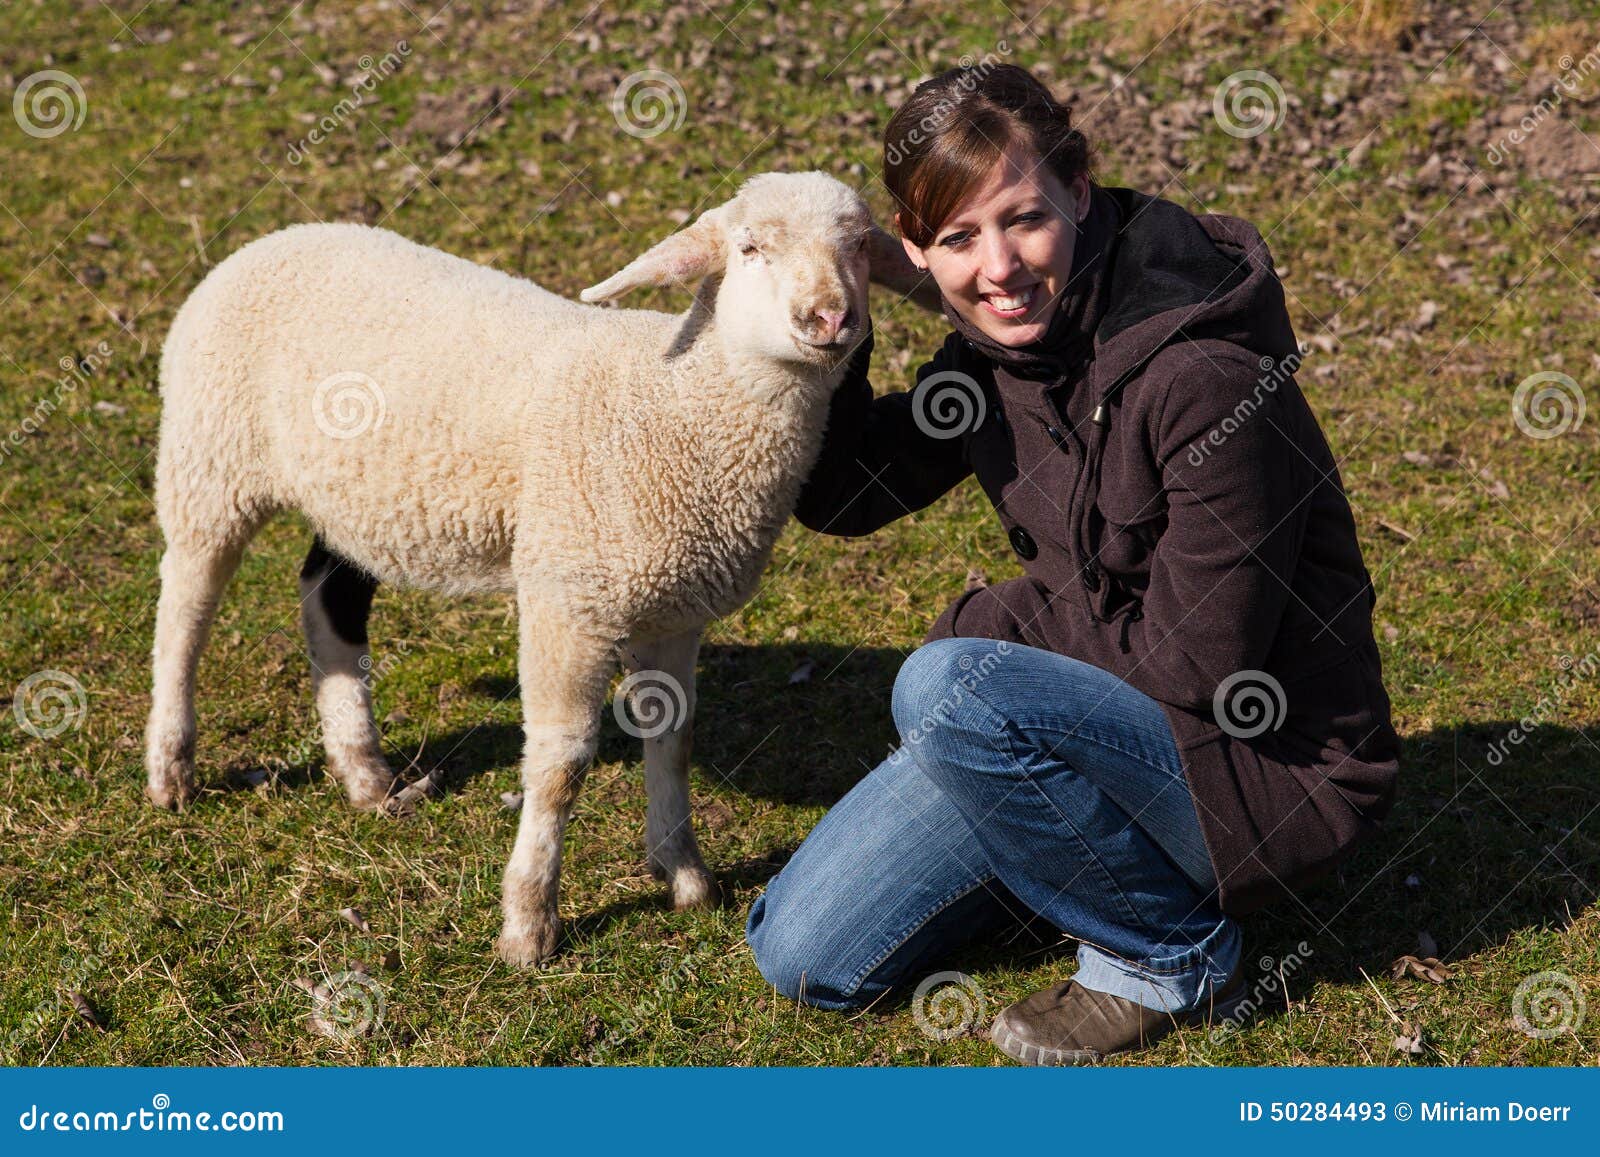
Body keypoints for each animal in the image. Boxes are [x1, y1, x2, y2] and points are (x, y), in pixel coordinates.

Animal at [143, 170, 933, 967]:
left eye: (860, 246)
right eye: (748, 249)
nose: (830, 316)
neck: (678, 403)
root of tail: (272, 240)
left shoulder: (675, 608)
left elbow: (674, 740)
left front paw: (683, 874)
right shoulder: (568, 597)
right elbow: (561, 767)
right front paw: (529, 922)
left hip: (357, 499)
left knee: (328, 599)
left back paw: (365, 774)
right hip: (211, 457)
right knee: (186, 608)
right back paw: (171, 767)